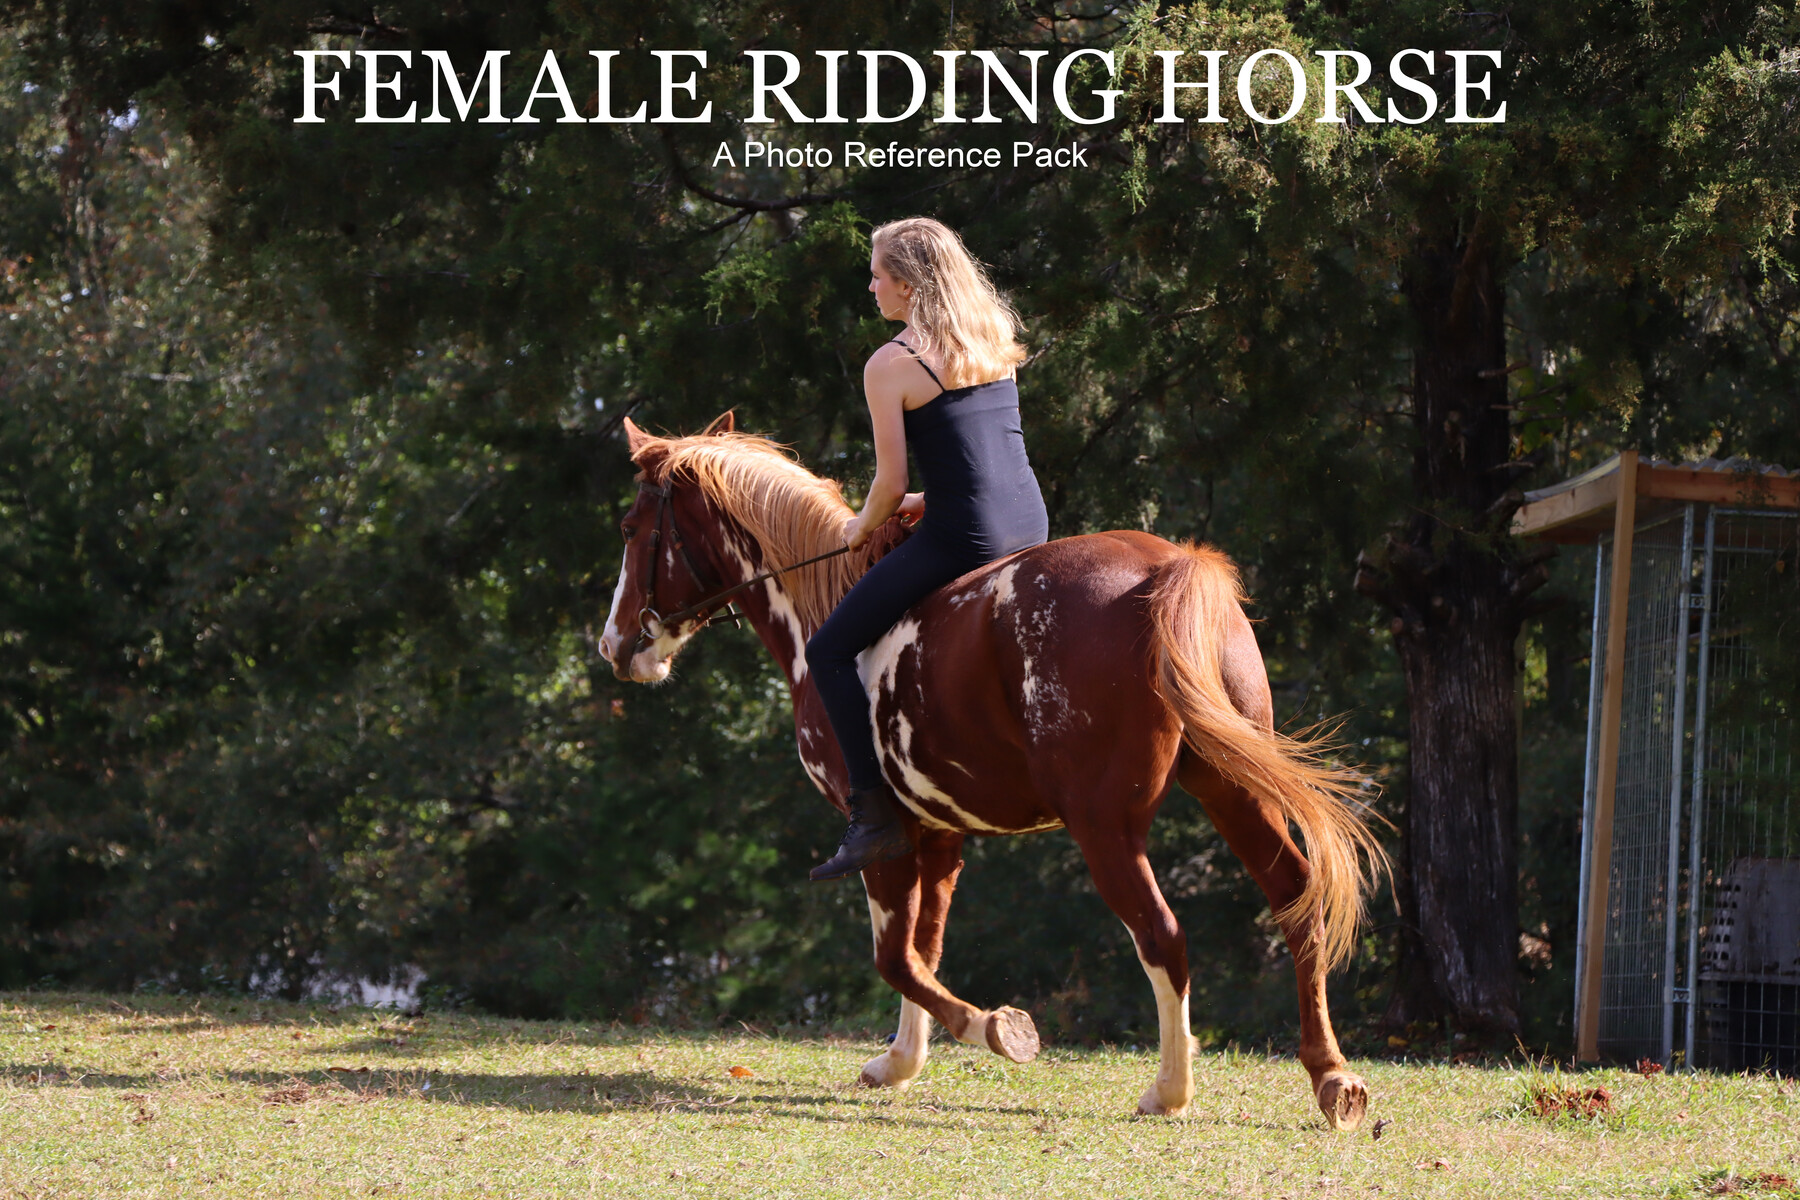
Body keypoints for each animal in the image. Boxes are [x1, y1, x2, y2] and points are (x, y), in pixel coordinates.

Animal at [597, 412, 1386, 1127]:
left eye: (632, 529)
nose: (613, 643)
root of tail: (1163, 568)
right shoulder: (939, 834)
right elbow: (925, 949)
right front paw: (901, 1061)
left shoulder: (881, 836)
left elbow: (895, 956)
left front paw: (993, 1029)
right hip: (1231, 789)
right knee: (1295, 895)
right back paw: (1331, 1077)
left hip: (1106, 826)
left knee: (1162, 934)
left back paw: (1169, 1091)